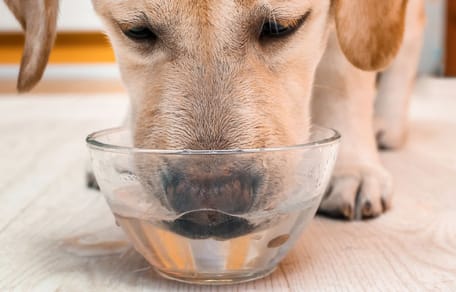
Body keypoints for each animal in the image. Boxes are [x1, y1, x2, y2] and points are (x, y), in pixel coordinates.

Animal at [4, 0, 424, 224]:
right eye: (136, 31)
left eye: (282, 27)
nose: (210, 198)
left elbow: (344, 74)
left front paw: (352, 167)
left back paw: (387, 124)